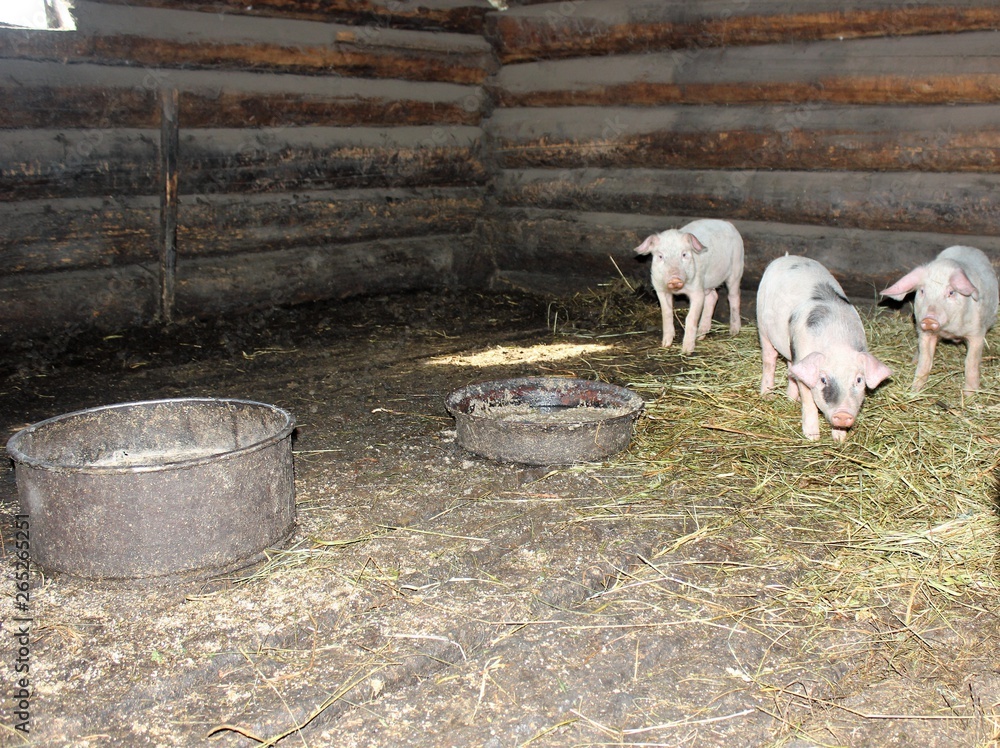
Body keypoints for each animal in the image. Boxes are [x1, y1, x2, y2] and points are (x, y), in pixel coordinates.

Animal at [634, 218, 744, 354]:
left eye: (684, 254)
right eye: (660, 256)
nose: (675, 278)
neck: (679, 290)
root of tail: (727, 223)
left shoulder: (697, 290)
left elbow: (690, 318)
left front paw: (686, 351)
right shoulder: (660, 289)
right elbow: (666, 313)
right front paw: (665, 345)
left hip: (736, 268)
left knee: (734, 296)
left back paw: (733, 331)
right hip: (708, 283)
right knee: (713, 296)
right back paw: (701, 335)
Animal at [757, 255, 892, 442]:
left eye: (859, 380)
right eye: (823, 379)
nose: (843, 414)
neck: (837, 342)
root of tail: (786, 257)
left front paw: (840, 440)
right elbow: (809, 401)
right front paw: (812, 437)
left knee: (791, 367)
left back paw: (791, 399)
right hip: (762, 326)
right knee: (769, 360)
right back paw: (767, 396)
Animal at [880, 246, 999, 395]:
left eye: (951, 292)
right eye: (922, 291)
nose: (929, 319)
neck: (949, 331)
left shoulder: (977, 333)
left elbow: (971, 362)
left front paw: (969, 395)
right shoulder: (925, 333)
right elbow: (925, 362)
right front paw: (914, 392)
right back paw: (913, 361)